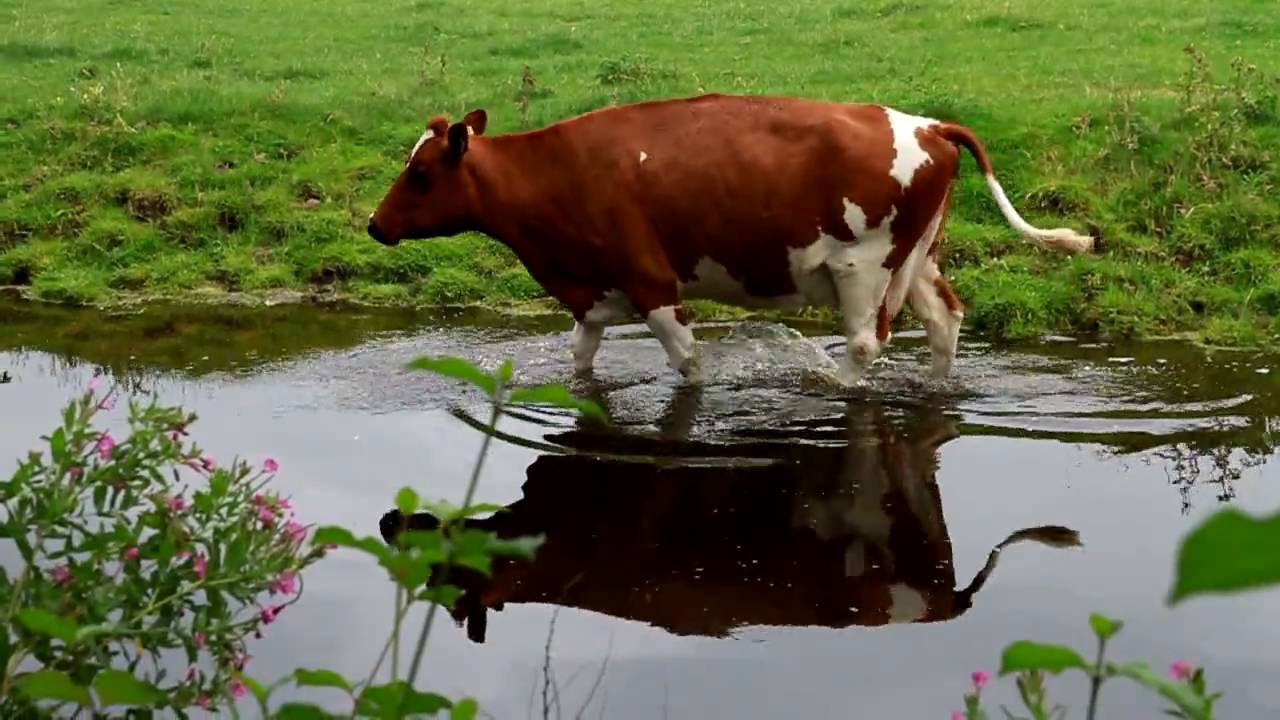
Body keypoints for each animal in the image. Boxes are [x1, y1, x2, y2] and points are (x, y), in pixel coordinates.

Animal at [367, 93, 1095, 383]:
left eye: (422, 173)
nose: (375, 224)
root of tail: (929, 125)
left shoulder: (651, 280)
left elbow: (689, 365)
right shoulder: (593, 288)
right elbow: (580, 356)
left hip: (865, 266)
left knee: (865, 344)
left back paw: (831, 385)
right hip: (917, 259)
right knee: (945, 320)